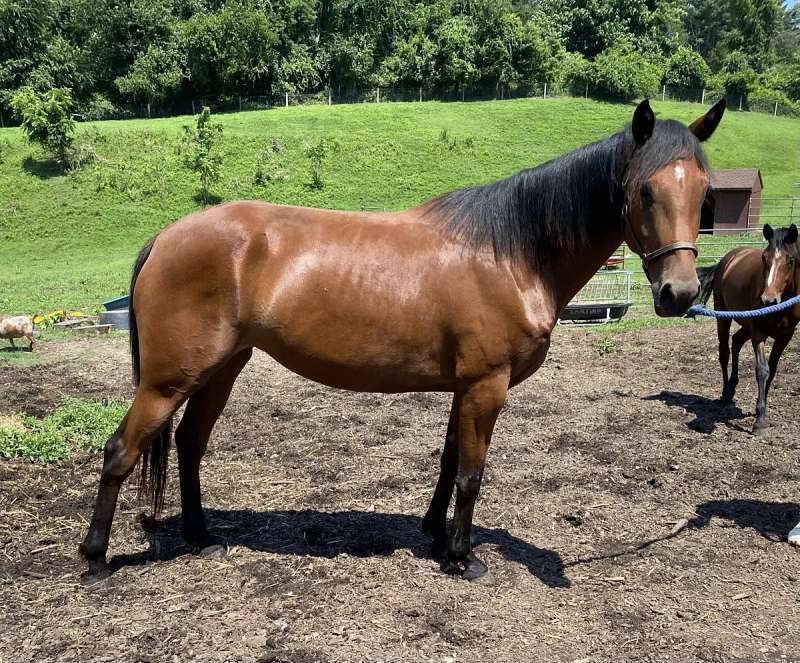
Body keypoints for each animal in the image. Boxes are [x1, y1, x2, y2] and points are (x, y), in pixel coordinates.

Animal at [80, 99, 725, 584]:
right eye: (645, 191)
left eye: (703, 193)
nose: (679, 292)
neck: (512, 253)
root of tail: (167, 236)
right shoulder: (486, 385)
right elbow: (472, 472)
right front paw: (464, 559)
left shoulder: (465, 386)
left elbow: (449, 462)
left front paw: (437, 536)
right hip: (168, 380)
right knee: (121, 451)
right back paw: (95, 559)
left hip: (221, 368)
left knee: (189, 445)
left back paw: (200, 536)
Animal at [695, 223, 799, 437]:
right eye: (764, 258)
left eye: (790, 260)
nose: (768, 300)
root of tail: (729, 257)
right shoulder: (758, 332)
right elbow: (762, 369)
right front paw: (759, 421)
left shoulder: (785, 336)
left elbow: (772, 370)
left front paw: (761, 408)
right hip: (724, 316)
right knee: (724, 352)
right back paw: (726, 394)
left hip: (746, 324)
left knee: (736, 341)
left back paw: (733, 386)